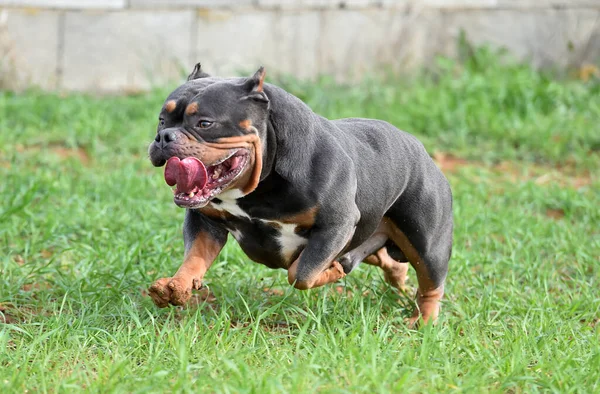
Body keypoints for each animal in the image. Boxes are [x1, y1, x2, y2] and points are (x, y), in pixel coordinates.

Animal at [148, 63, 452, 324]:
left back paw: (423, 321)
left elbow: (301, 272)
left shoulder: (336, 225)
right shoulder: (205, 221)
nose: (163, 136)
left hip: (427, 243)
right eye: (161, 120)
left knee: (431, 283)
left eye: (205, 123)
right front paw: (177, 285)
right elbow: (195, 256)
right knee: (387, 260)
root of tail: (420, 149)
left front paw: (331, 271)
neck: (259, 185)